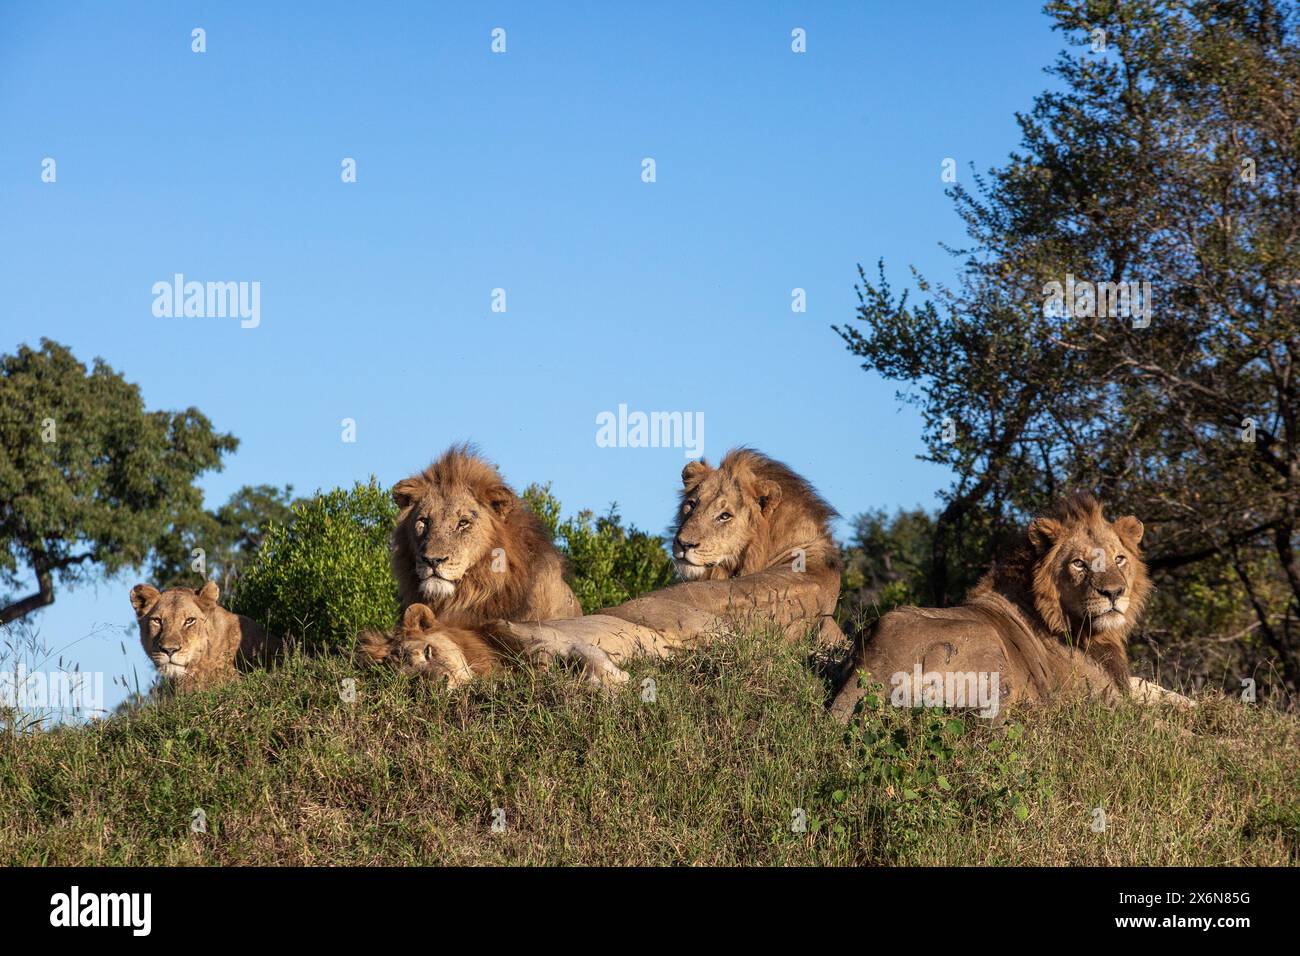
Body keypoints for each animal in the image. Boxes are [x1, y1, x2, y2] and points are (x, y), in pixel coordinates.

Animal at [828, 492, 1175, 722]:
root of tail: (873, 664)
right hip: (985, 646)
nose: (1114, 592)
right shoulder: (1103, 700)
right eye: (1079, 563)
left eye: (1120, 559)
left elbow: (1154, 690)